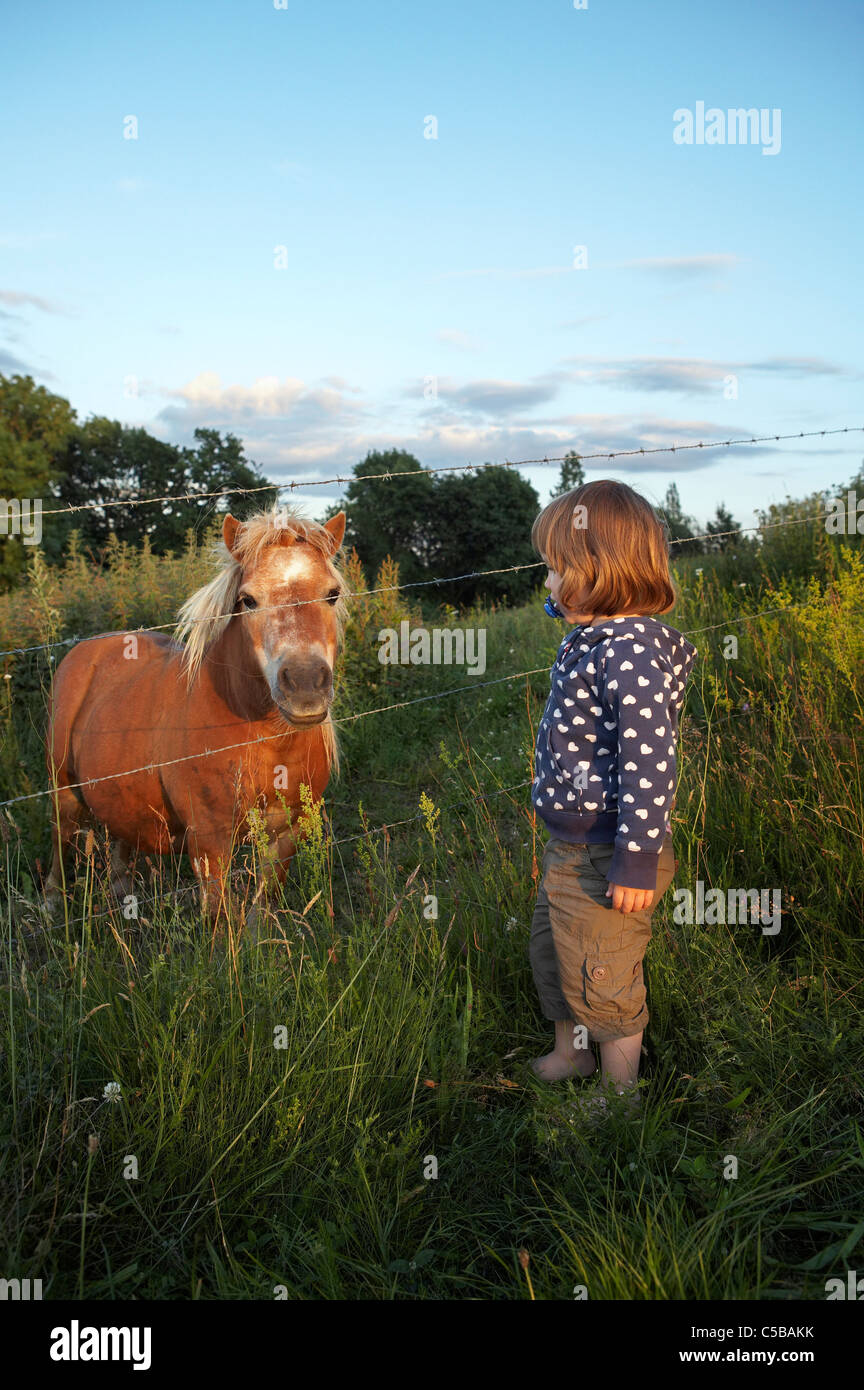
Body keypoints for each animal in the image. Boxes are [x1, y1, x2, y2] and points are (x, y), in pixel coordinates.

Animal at [45, 504, 348, 928]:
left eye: (332, 594)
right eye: (248, 599)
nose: (305, 686)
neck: (266, 743)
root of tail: (85, 648)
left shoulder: (286, 834)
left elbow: (263, 907)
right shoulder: (208, 841)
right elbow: (219, 920)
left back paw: (122, 896)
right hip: (63, 789)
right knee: (61, 840)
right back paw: (51, 903)